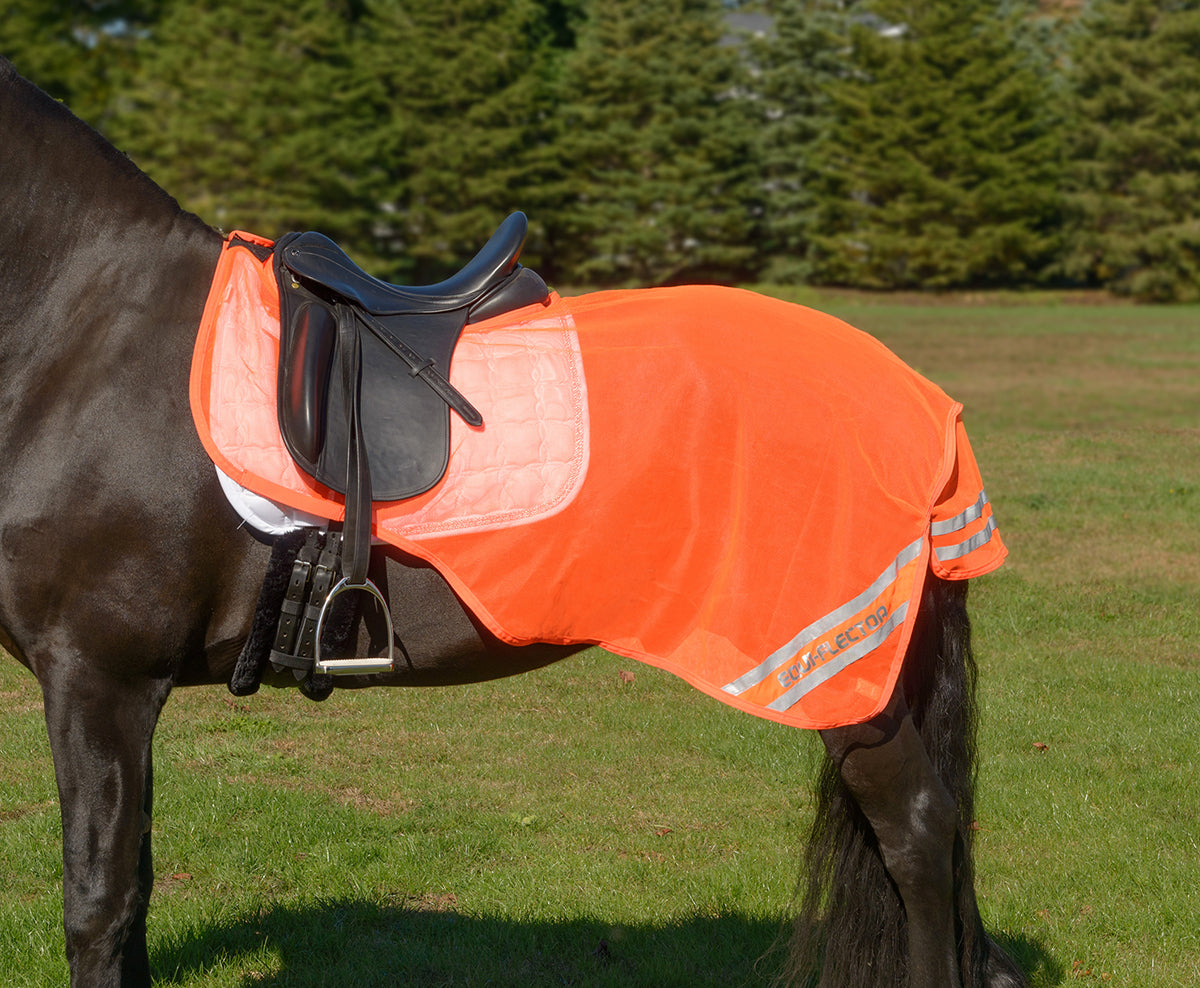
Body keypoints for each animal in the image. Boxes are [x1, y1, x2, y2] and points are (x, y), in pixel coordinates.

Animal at [0, 58, 1027, 988]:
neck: (90, 338)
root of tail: (916, 398)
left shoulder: (99, 678)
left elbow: (97, 902)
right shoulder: (120, 691)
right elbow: (129, 892)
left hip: (844, 671)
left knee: (919, 832)